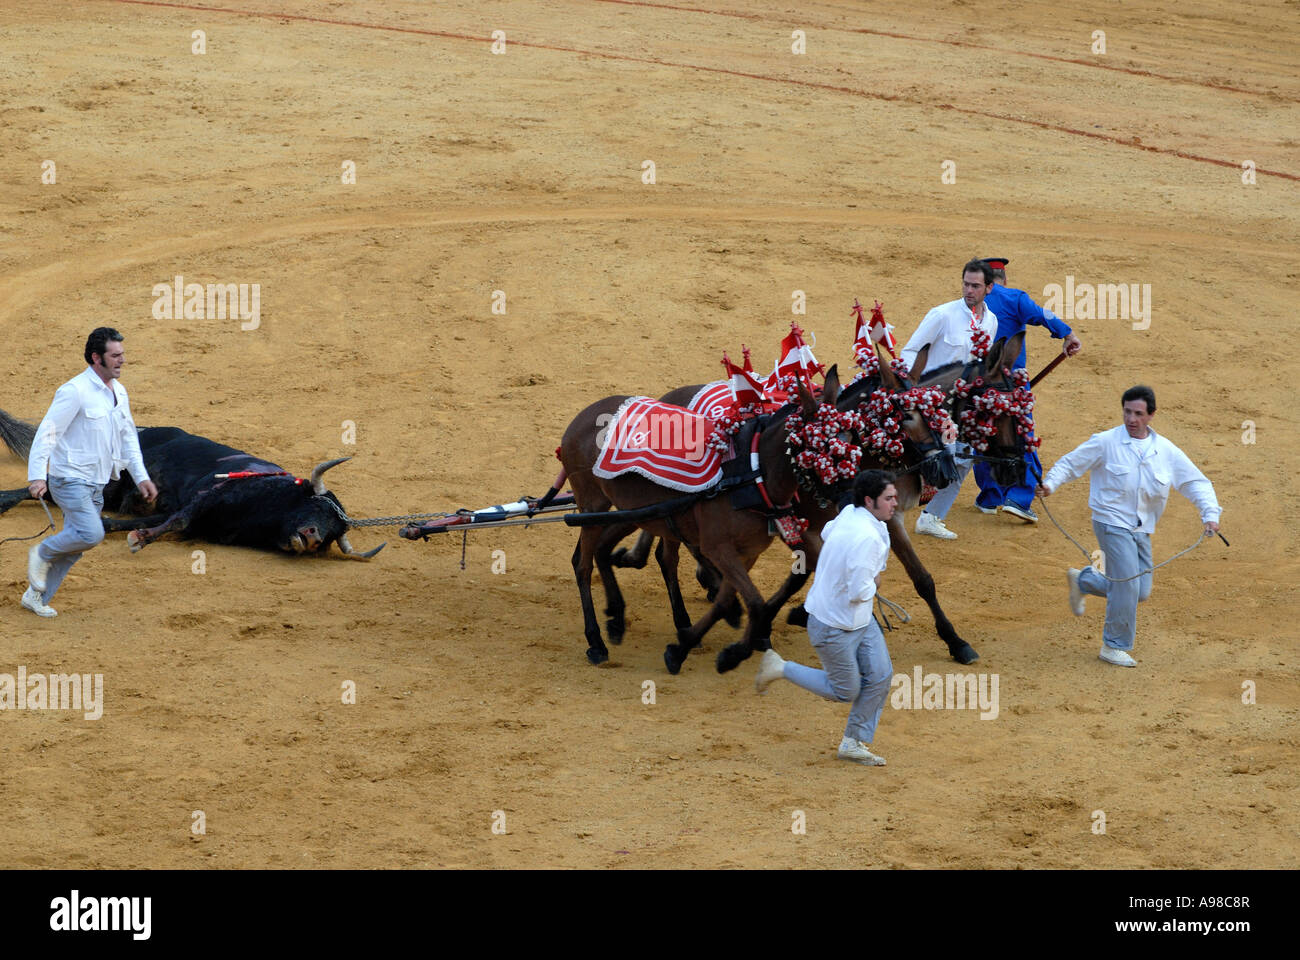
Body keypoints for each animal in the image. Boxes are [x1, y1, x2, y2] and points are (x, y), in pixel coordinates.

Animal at [0, 409, 384, 559]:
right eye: (315, 505)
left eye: (333, 535)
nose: (312, 536)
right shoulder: (207, 498)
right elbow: (177, 520)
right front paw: (140, 539)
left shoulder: (188, 514)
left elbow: (145, 522)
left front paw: (127, 531)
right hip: (110, 477)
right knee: (43, 487)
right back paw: (4, 499)